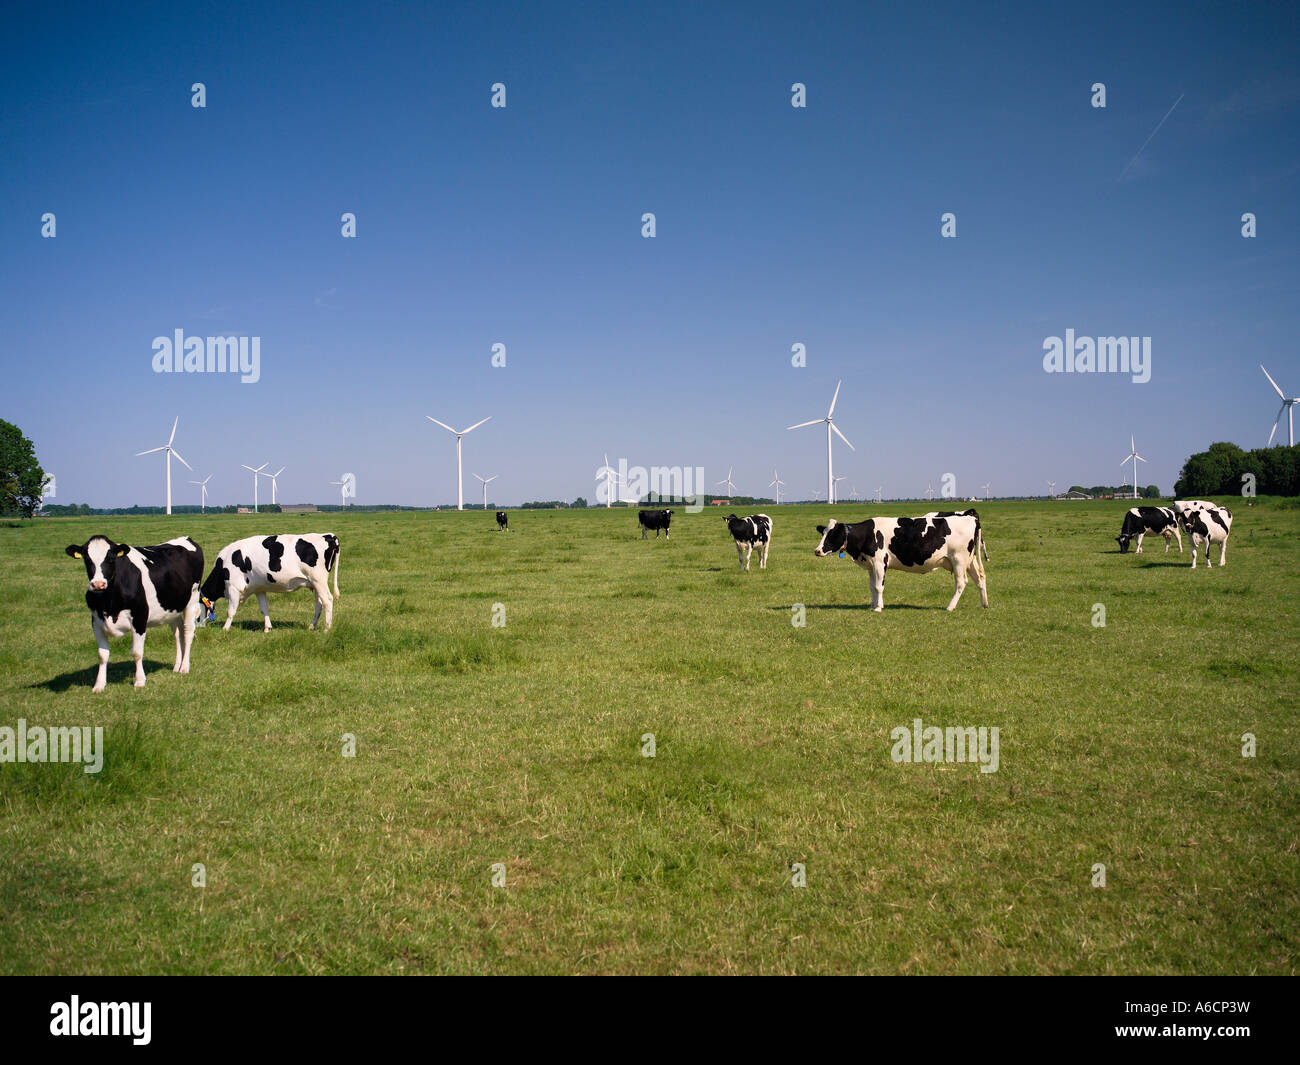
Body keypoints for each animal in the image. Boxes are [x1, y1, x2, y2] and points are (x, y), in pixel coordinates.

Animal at [65, 535, 204, 692]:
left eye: (111, 559)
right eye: (87, 559)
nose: (98, 584)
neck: (109, 603)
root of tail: (186, 538)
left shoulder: (139, 619)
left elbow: (137, 653)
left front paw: (140, 680)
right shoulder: (96, 622)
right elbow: (102, 655)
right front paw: (99, 685)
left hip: (192, 600)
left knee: (187, 633)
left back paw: (185, 667)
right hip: (171, 609)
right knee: (178, 633)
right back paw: (177, 666)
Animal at [200, 533, 341, 631]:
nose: (199, 626)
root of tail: (328, 536)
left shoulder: (234, 587)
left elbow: (230, 611)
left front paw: (225, 628)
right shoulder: (259, 589)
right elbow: (264, 609)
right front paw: (267, 628)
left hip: (318, 580)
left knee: (327, 600)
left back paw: (327, 629)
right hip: (315, 583)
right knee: (319, 604)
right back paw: (312, 626)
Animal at [813, 514, 988, 612]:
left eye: (832, 535)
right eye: (823, 533)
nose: (817, 550)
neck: (867, 535)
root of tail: (971, 518)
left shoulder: (880, 562)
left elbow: (879, 586)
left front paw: (878, 607)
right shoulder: (870, 564)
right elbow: (872, 586)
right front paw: (872, 605)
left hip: (959, 559)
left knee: (961, 583)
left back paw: (950, 606)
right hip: (970, 561)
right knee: (980, 578)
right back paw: (984, 604)